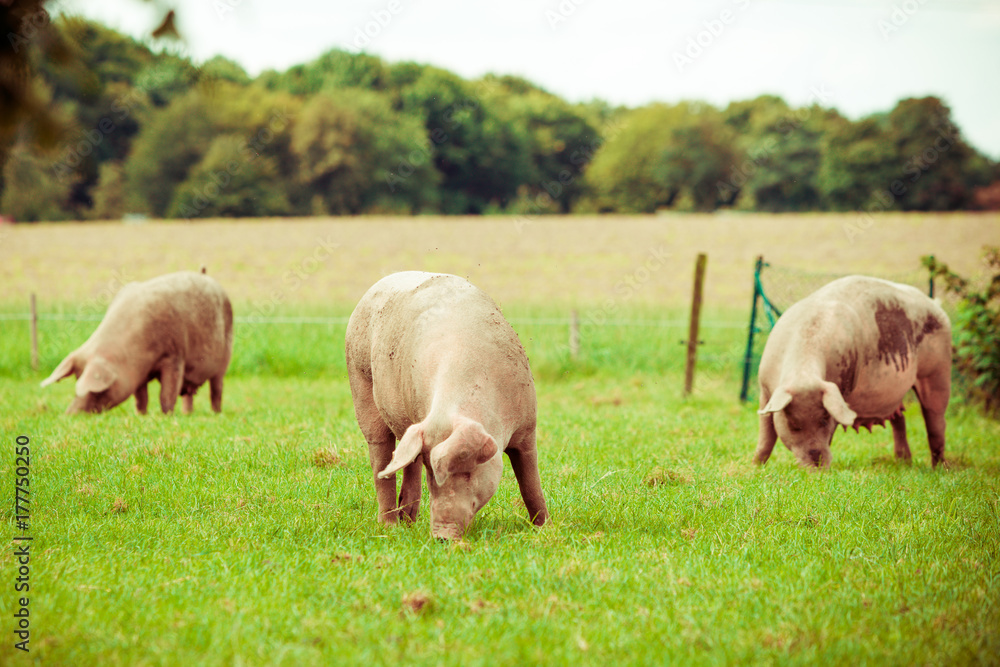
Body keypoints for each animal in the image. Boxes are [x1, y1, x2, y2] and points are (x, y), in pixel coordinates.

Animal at [41, 269, 233, 415]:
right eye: (76, 379)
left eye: (98, 391)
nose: (70, 414)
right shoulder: (139, 372)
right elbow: (141, 397)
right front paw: (142, 415)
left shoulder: (174, 356)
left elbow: (167, 392)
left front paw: (166, 415)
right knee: (188, 395)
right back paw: (187, 414)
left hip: (225, 356)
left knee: (216, 389)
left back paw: (216, 413)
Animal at [345, 271, 549, 540]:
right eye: (432, 476)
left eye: (468, 470)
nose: (442, 536)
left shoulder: (527, 426)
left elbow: (531, 482)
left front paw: (546, 527)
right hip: (360, 381)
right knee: (381, 459)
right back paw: (390, 527)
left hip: (411, 426)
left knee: (407, 460)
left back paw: (408, 521)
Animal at [754, 275, 951, 468]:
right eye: (793, 424)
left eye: (824, 419)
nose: (817, 464)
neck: (803, 373)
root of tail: (936, 305)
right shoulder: (765, 391)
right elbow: (765, 436)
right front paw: (755, 466)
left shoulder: (841, 390)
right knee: (899, 419)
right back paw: (903, 463)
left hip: (938, 372)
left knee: (936, 423)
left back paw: (939, 468)